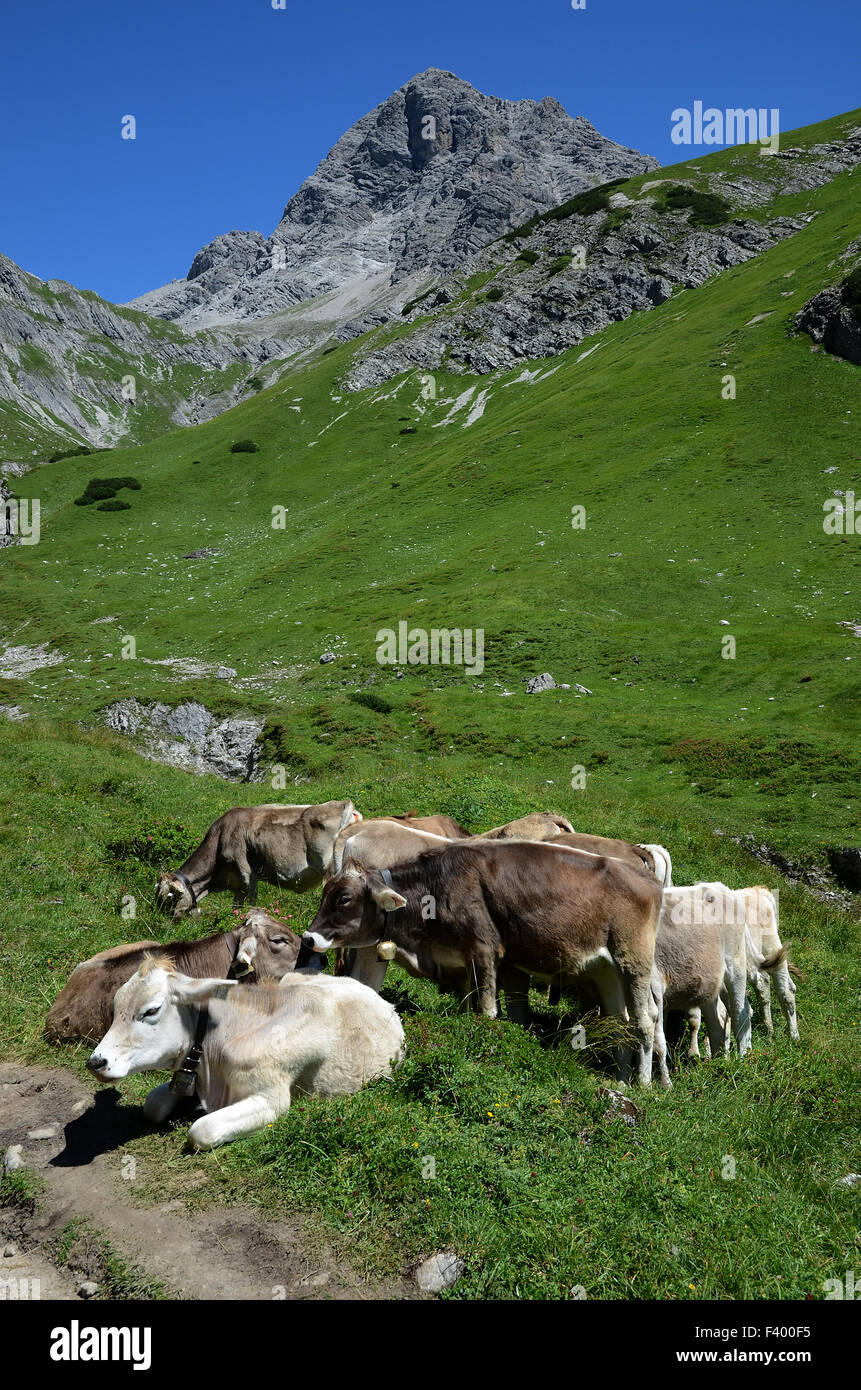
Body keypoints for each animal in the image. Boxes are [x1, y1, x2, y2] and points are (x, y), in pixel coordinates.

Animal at [86, 957, 405, 1149]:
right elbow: (152, 1104)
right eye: (116, 1006)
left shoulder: (272, 1098)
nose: (96, 1062)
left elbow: (201, 1130)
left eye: (151, 1010)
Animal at [155, 800, 362, 920]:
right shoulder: (241, 880)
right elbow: (239, 905)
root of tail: (344, 805)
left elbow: (247, 905)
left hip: (333, 871)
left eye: (169, 898)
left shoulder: (245, 875)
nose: (160, 921)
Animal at [304, 839, 662, 1085]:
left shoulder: (484, 949)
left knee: (644, 1021)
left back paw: (644, 1083)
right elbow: (467, 1008)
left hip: (633, 960)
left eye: (344, 898)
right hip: (605, 970)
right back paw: (620, 1079)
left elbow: (487, 1012)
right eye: (324, 894)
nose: (309, 937)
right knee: (619, 1023)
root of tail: (647, 878)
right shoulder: (463, 961)